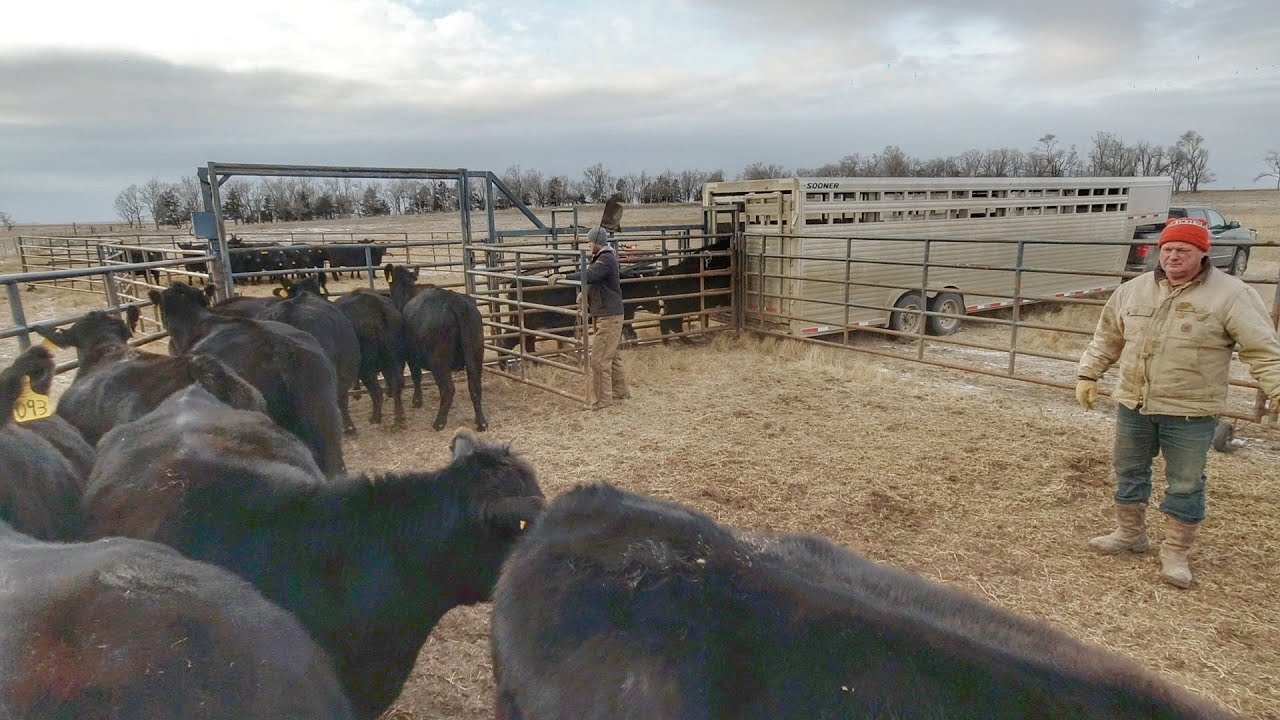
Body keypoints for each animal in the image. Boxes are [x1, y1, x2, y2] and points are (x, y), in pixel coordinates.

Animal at [334, 287, 407, 427]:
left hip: (366, 366)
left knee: (376, 391)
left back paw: (375, 417)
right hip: (393, 358)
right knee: (396, 383)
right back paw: (399, 418)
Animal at [385, 264, 487, 431]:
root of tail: (455, 300)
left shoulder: (410, 356)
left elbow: (416, 376)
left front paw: (417, 401)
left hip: (439, 361)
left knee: (448, 389)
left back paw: (439, 422)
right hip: (476, 354)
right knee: (475, 387)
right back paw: (481, 422)